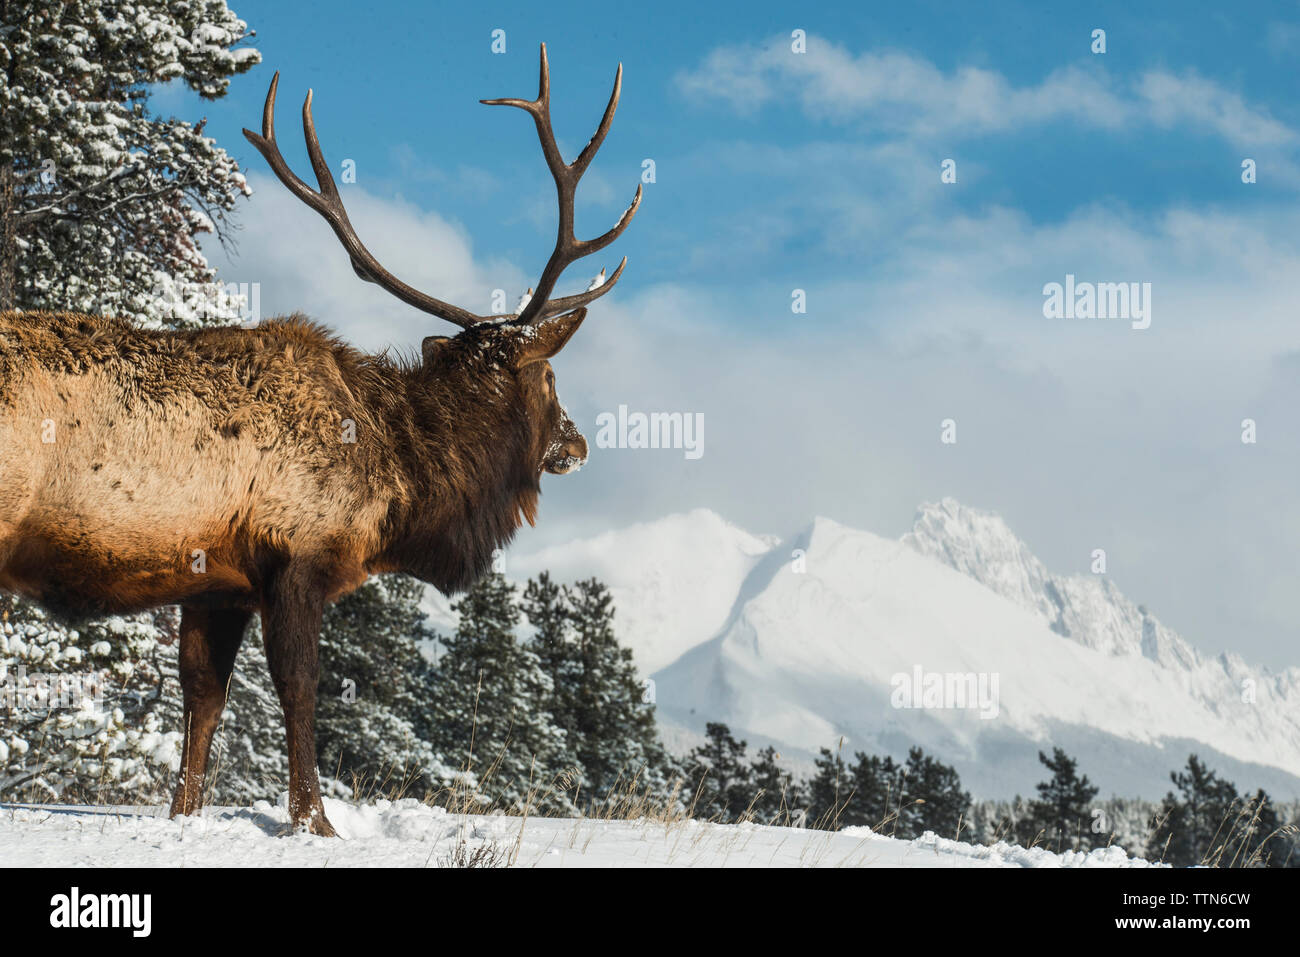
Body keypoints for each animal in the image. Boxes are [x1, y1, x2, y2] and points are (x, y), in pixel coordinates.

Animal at [0, 44, 639, 835]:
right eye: (549, 379)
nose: (578, 444)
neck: (399, 478)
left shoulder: (217, 583)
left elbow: (202, 699)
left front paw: (186, 816)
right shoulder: (295, 553)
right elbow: (300, 691)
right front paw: (316, 820)